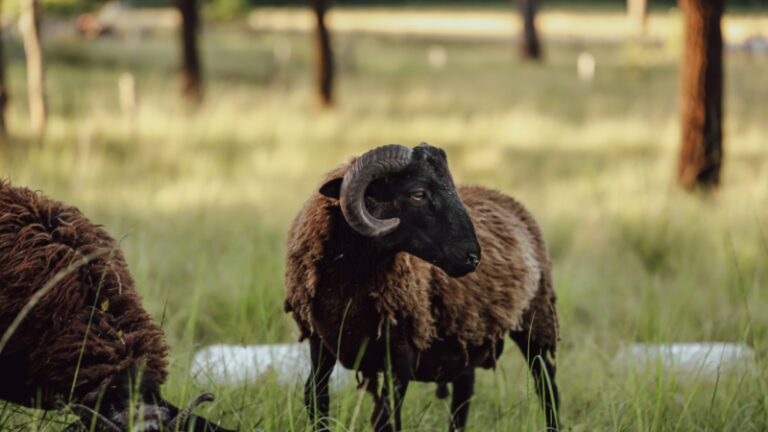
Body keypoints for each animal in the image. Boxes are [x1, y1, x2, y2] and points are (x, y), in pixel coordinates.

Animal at [284, 143, 560, 431]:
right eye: (417, 194)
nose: (473, 257)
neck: (348, 289)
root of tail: (501, 195)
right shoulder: (320, 342)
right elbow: (316, 400)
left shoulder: (401, 354)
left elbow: (387, 418)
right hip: (467, 338)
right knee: (464, 394)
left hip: (536, 321)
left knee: (547, 388)